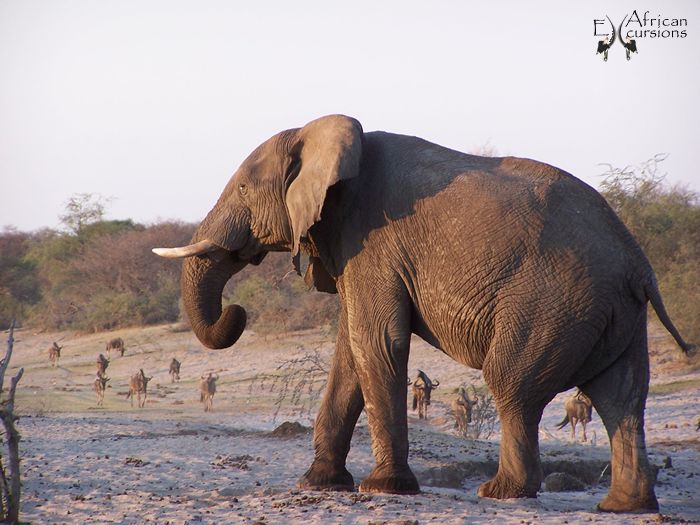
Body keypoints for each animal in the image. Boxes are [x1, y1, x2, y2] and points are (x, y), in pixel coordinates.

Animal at [153, 114, 696, 512]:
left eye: (244, 191)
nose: (237, 312)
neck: (321, 135)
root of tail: (637, 263)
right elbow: (351, 352)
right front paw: (318, 484)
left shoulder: (372, 237)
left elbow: (377, 341)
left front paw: (382, 488)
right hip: (613, 312)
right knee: (622, 397)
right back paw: (623, 507)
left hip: (554, 302)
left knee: (514, 385)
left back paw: (500, 492)